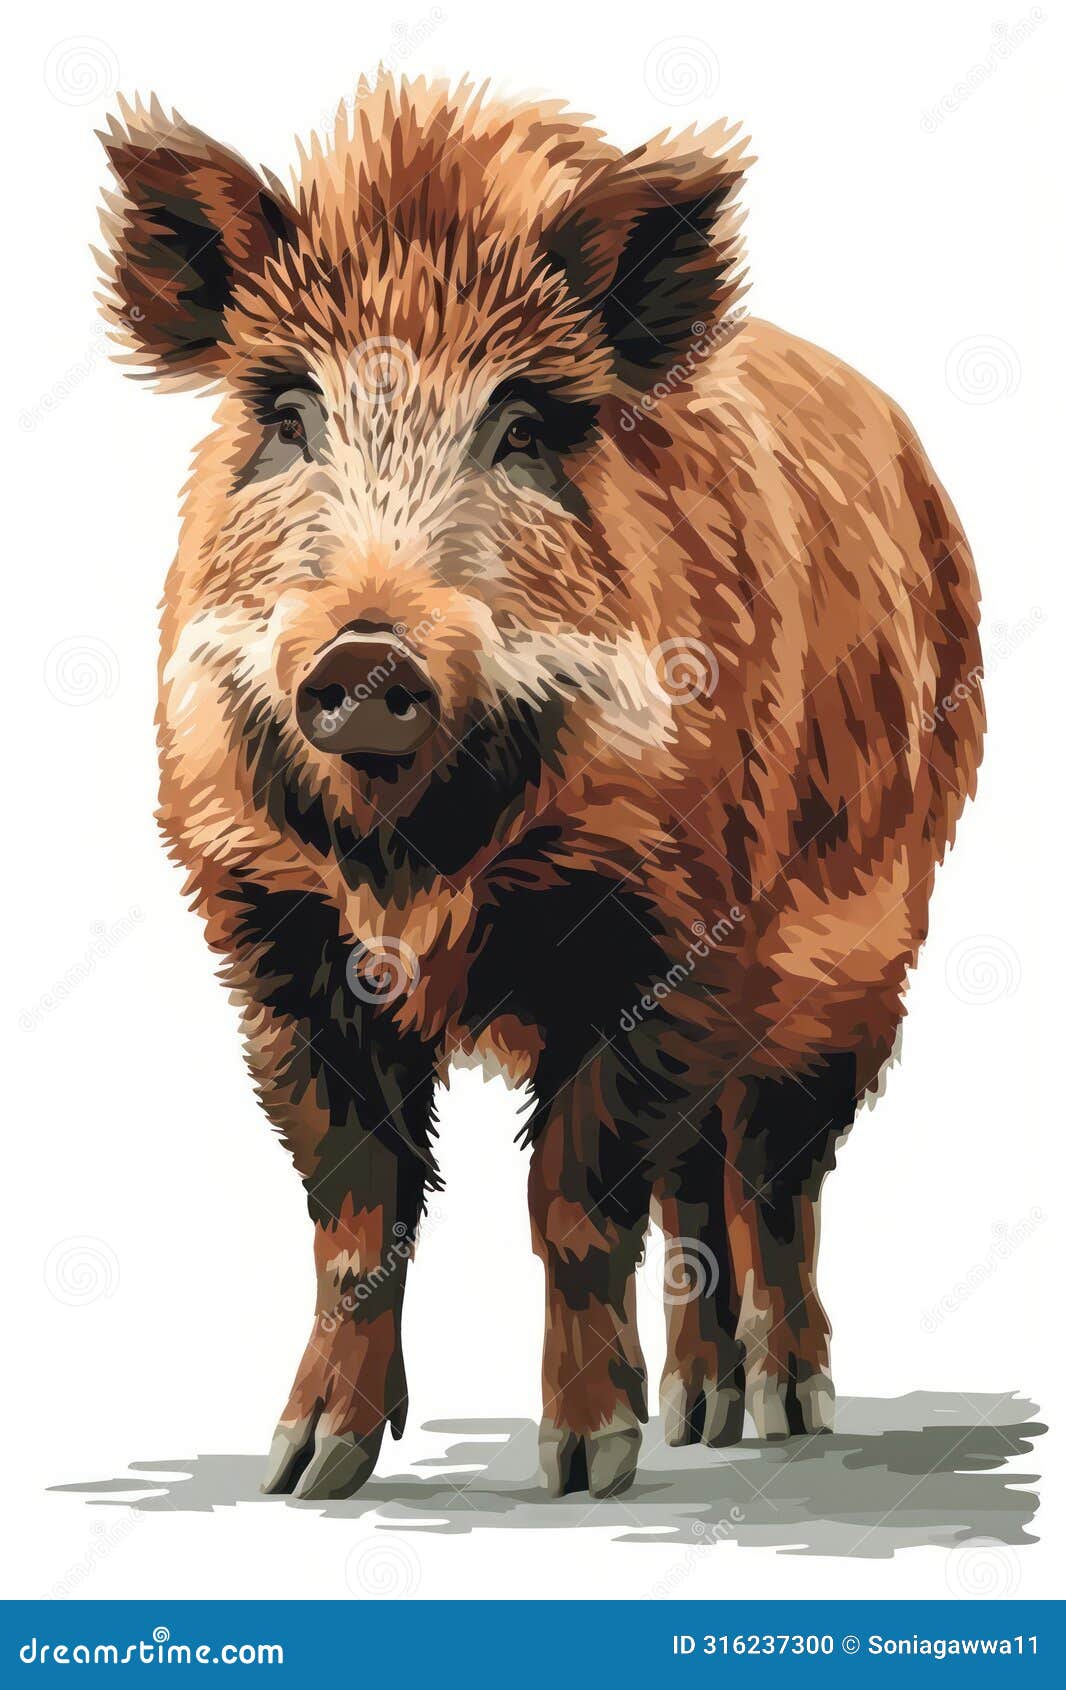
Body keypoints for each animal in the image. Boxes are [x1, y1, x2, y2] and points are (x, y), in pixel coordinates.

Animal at [96, 78, 983, 1500]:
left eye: (520, 428)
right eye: (286, 415)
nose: (365, 656)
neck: (413, 872)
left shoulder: (656, 930)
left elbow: (574, 1197)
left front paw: (582, 1467)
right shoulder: (270, 937)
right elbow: (356, 1211)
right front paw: (305, 1468)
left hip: (859, 947)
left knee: (774, 1169)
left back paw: (783, 1412)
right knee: (701, 1175)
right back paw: (699, 1415)